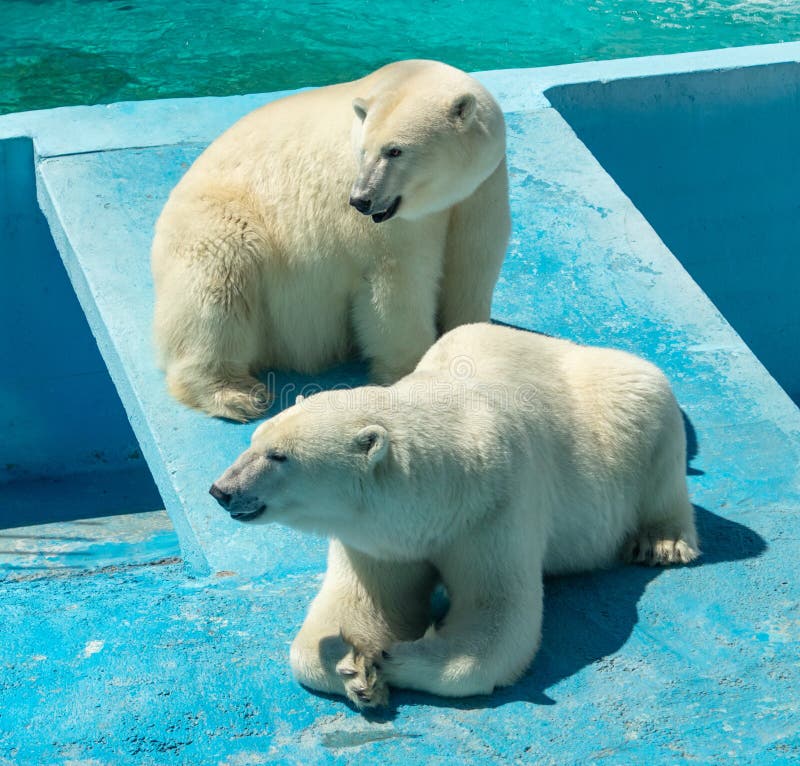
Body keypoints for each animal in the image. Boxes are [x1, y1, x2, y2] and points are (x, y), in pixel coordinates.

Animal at [151, 60, 510, 421]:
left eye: (395, 150)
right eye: (364, 151)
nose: (361, 200)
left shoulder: (483, 190)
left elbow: (472, 266)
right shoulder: (390, 228)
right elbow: (399, 284)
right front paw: (412, 375)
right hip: (224, 225)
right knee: (219, 289)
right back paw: (235, 394)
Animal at [209, 323, 700, 707]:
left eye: (279, 456)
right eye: (254, 440)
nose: (221, 491)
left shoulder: (495, 508)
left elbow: (495, 623)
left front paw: (394, 657)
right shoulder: (379, 537)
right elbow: (362, 606)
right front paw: (355, 668)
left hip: (626, 409)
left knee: (659, 452)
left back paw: (663, 543)